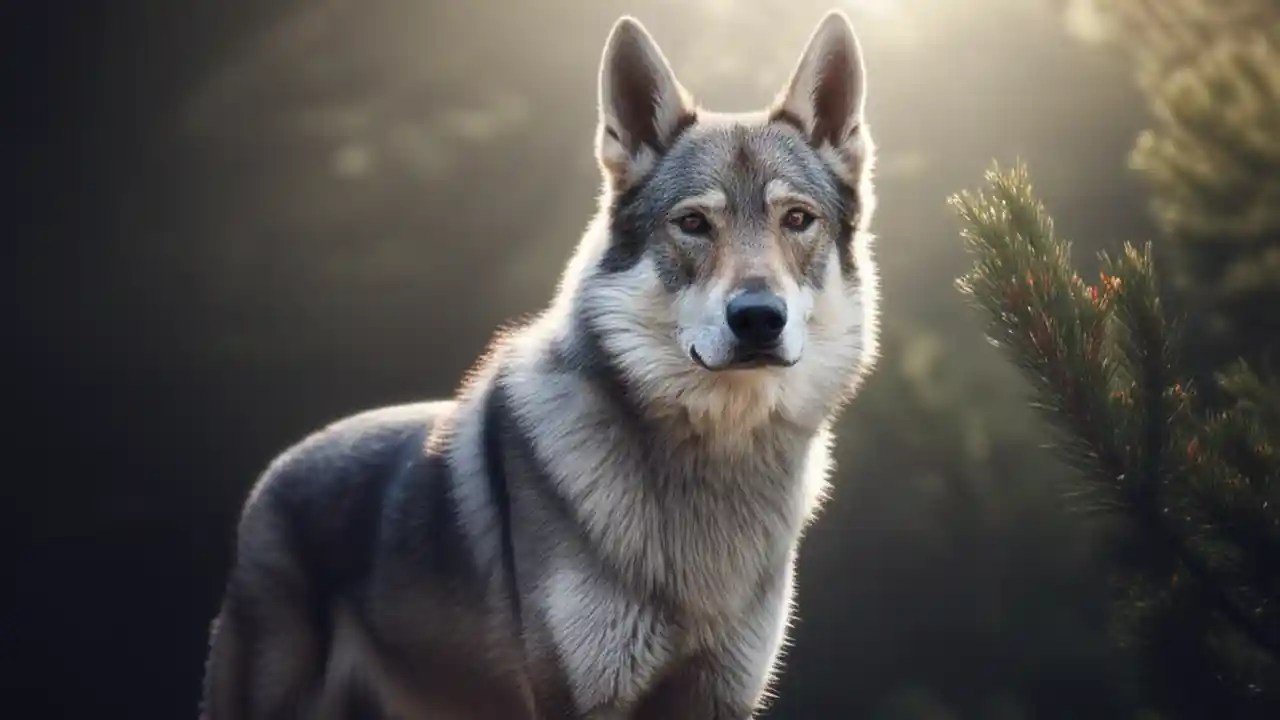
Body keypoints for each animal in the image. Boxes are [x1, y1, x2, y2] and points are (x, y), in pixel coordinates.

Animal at [202, 10, 878, 719]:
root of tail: (274, 476)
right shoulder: (578, 701)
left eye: (796, 219)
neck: (712, 469)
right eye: (693, 224)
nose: (757, 317)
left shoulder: (721, 699)